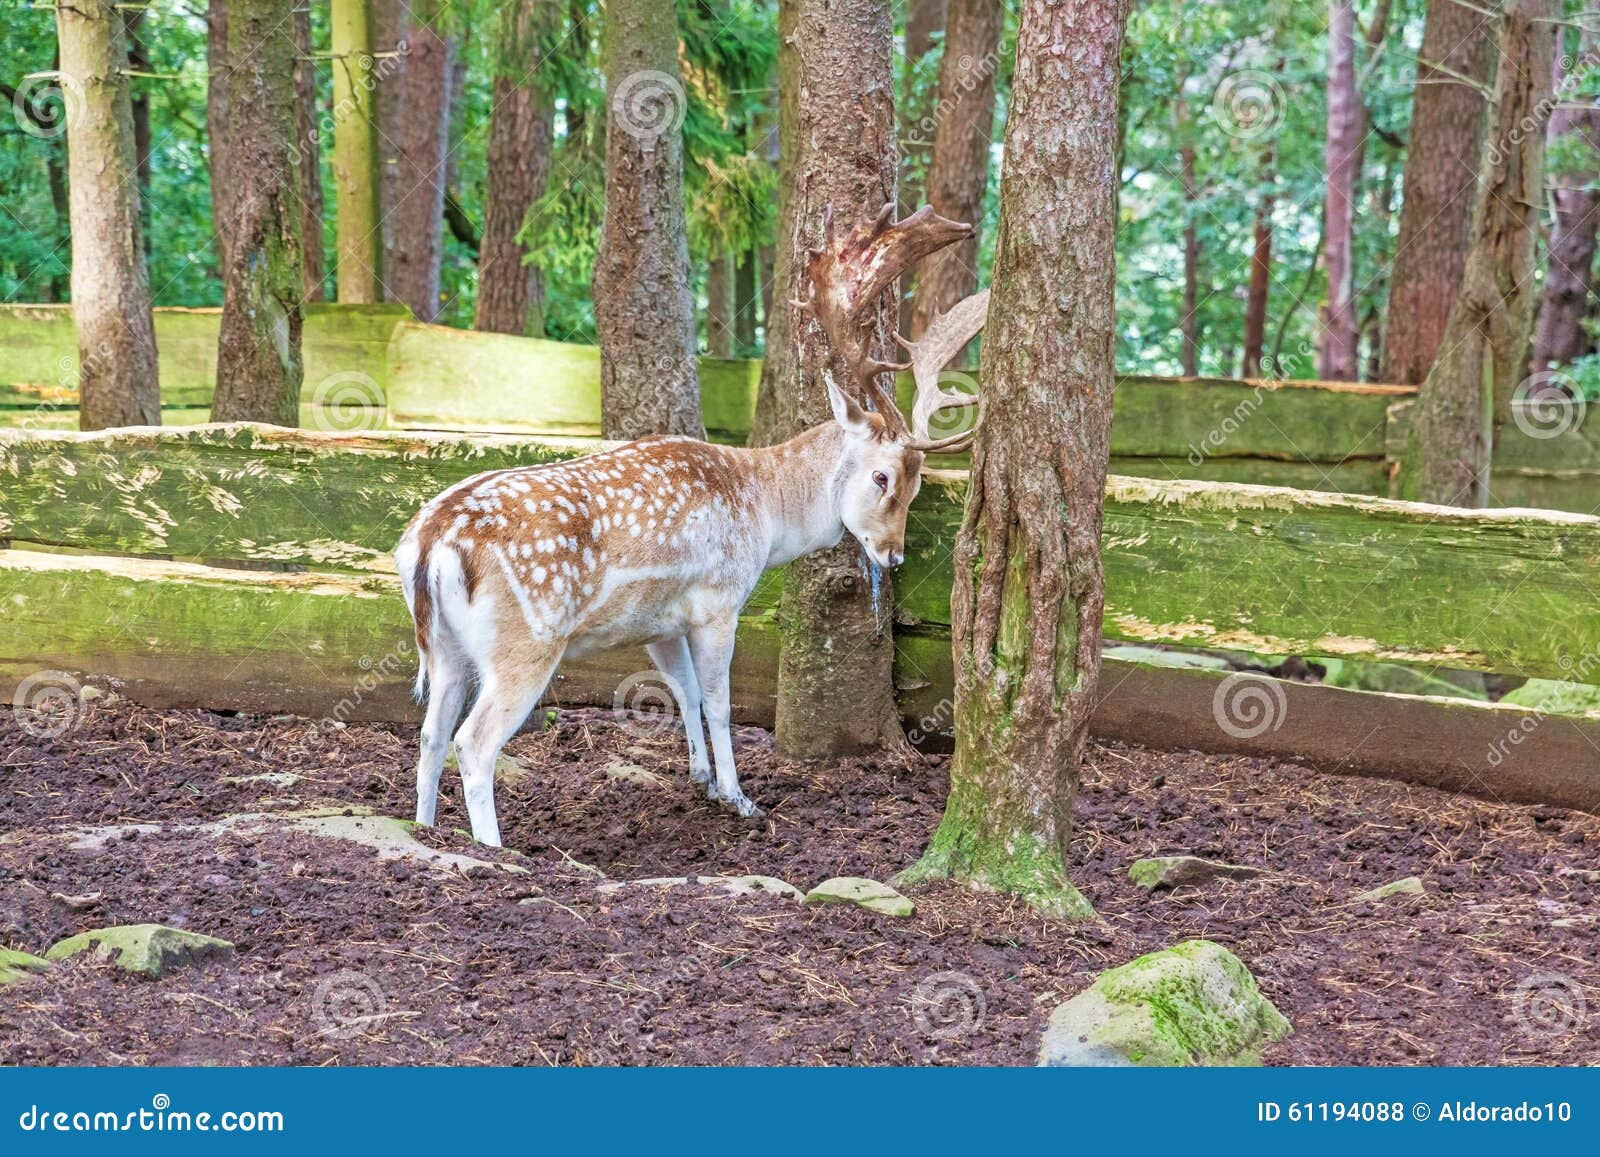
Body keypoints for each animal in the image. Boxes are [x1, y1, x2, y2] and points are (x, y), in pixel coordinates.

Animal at [395, 204, 992, 846]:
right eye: (883, 478)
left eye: (918, 485)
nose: (893, 556)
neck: (766, 511)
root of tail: (430, 544)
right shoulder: (717, 600)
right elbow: (718, 701)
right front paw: (739, 797)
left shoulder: (659, 622)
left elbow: (682, 693)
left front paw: (701, 779)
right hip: (524, 641)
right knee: (473, 743)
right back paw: (494, 848)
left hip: (446, 647)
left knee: (430, 733)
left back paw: (423, 828)